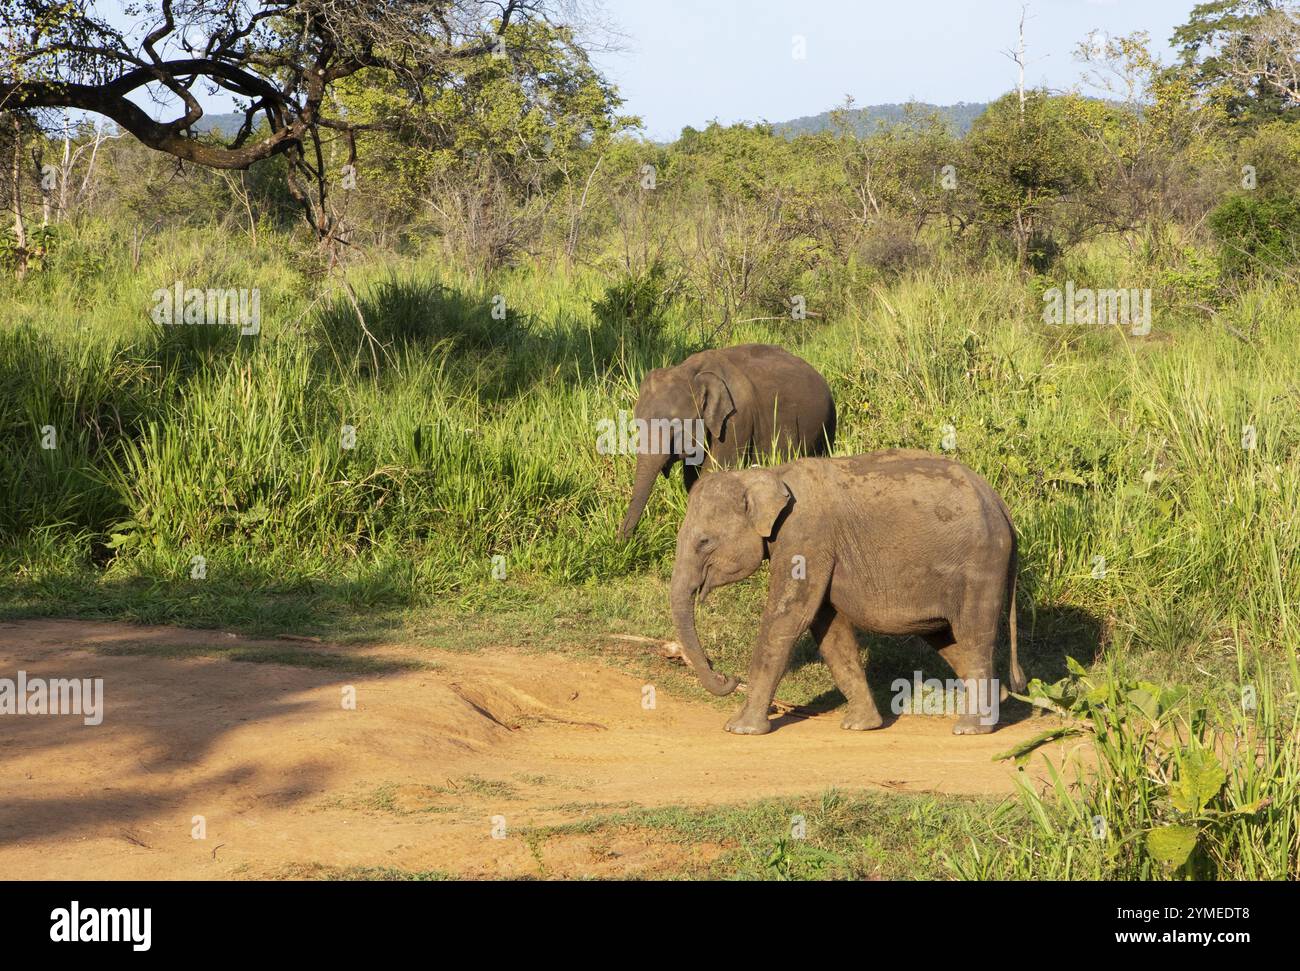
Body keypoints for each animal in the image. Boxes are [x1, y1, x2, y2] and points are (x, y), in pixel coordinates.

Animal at [617, 344, 836, 540]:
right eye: (636, 426)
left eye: (676, 429)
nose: (628, 542)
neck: (691, 371)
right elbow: (693, 478)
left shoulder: (736, 421)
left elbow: (713, 472)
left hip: (828, 423)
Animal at [668, 449, 1026, 736]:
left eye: (704, 542)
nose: (724, 674)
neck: (770, 475)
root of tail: (999, 503)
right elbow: (828, 629)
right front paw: (860, 726)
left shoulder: (807, 536)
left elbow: (788, 618)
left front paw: (740, 729)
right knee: (948, 639)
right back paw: (997, 702)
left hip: (980, 563)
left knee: (972, 635)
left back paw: (971, 728)